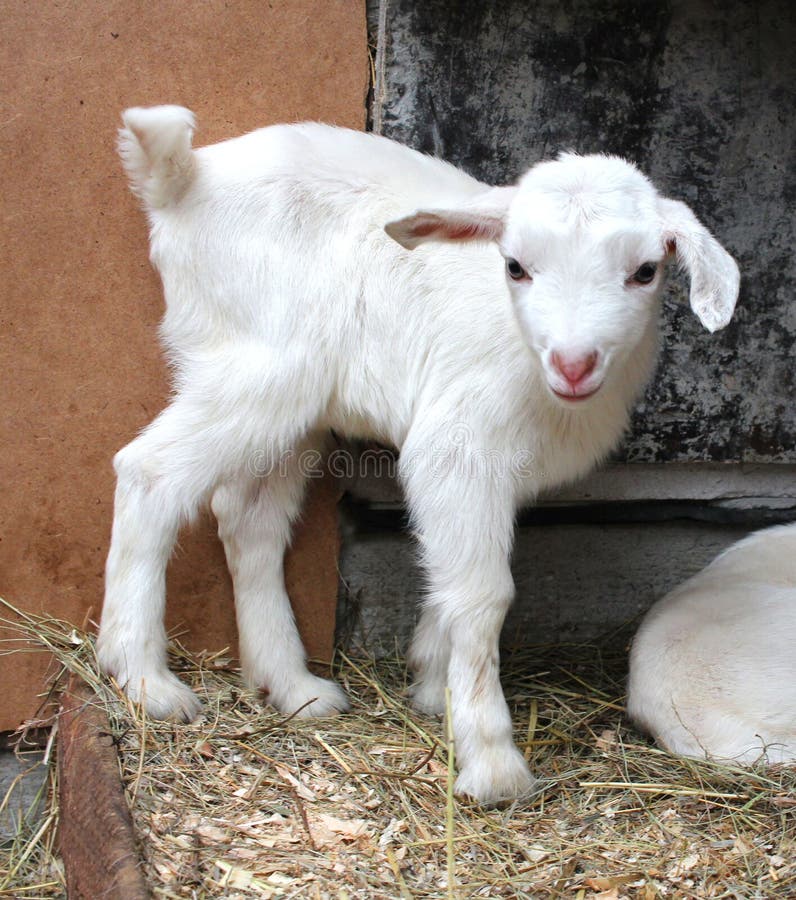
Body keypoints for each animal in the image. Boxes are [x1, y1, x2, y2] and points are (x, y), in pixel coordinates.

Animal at [98, 105, 739, 804]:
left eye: (645, 271)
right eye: (515, 266)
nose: (573, 364)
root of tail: (186, 177)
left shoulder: (487, 472)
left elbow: (447, 575)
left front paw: (436, 685)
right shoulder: (456, 446)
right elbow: (484, 594)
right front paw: (491, 760)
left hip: (287, 404)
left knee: (249, 521)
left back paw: (294, 688)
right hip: (257, 366)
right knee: (149, 473)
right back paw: (144, 680)